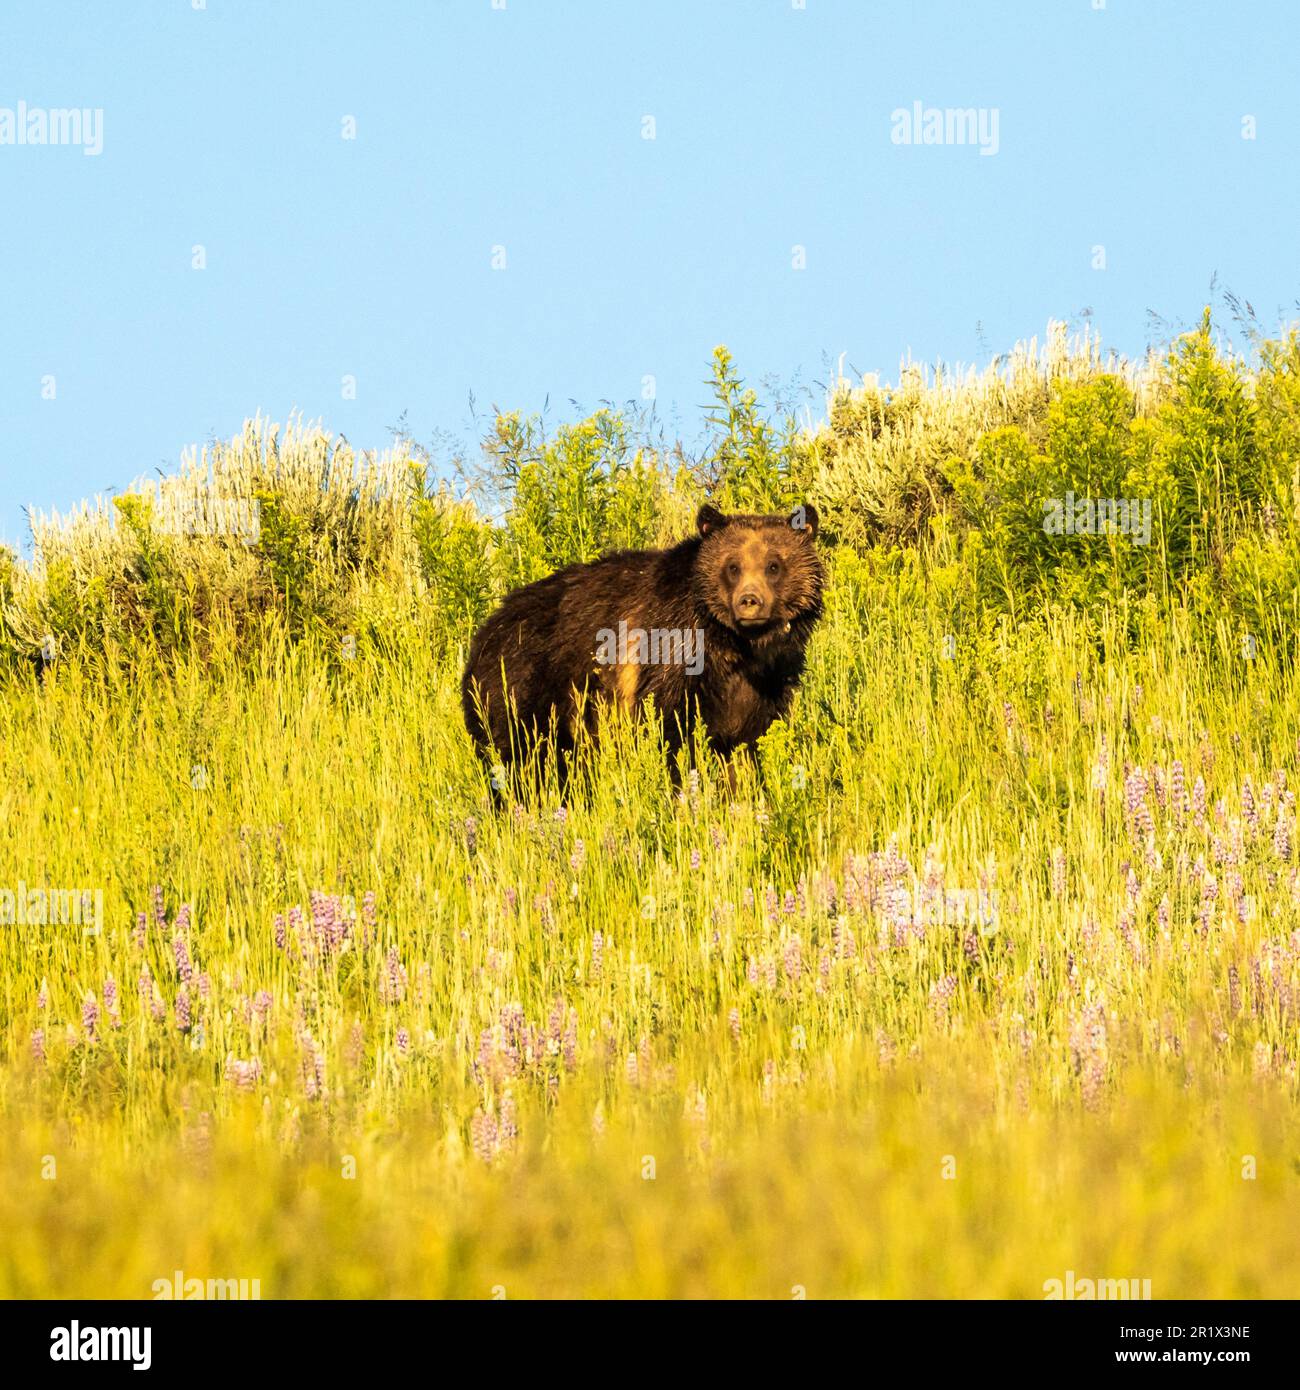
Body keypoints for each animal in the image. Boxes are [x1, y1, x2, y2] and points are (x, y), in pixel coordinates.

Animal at [461, 502, 824, 791]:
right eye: (732, 566)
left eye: (774, 565)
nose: (750, 601)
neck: (734, 648)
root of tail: (485, 632)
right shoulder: (671, 653)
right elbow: (669, 730)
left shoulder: (767, 681)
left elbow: (748, 742)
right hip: (522, 690)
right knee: (520, 758)